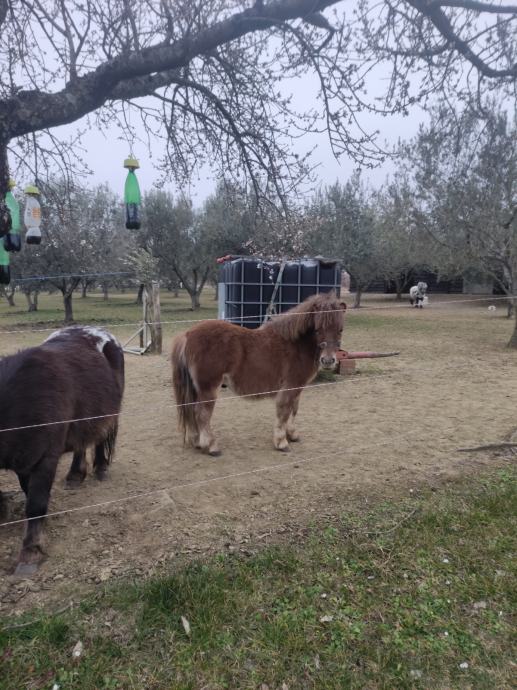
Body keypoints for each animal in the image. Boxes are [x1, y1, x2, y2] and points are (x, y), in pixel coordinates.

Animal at [0, 326, 125, 575]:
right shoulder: (24, 462)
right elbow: (28, 493)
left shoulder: (45, 459)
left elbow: (35, 503)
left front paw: (30, 552)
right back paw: (75, 475)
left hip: (108, 412)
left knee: (100, 437)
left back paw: (100, 469)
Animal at [171, 291, 346, 456]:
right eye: (317, 329)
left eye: (340, 330)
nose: (328, 361)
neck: (296, 344)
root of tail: (187, 335)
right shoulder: (290, 387)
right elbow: (284, 412)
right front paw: (281, 442)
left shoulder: (297, 388)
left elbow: (294, 410)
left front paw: (292, 435)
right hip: (209, 388)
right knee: (202, 414)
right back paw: (211, 447)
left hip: (197, 389)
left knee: (192, 412)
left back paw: (197, 442)